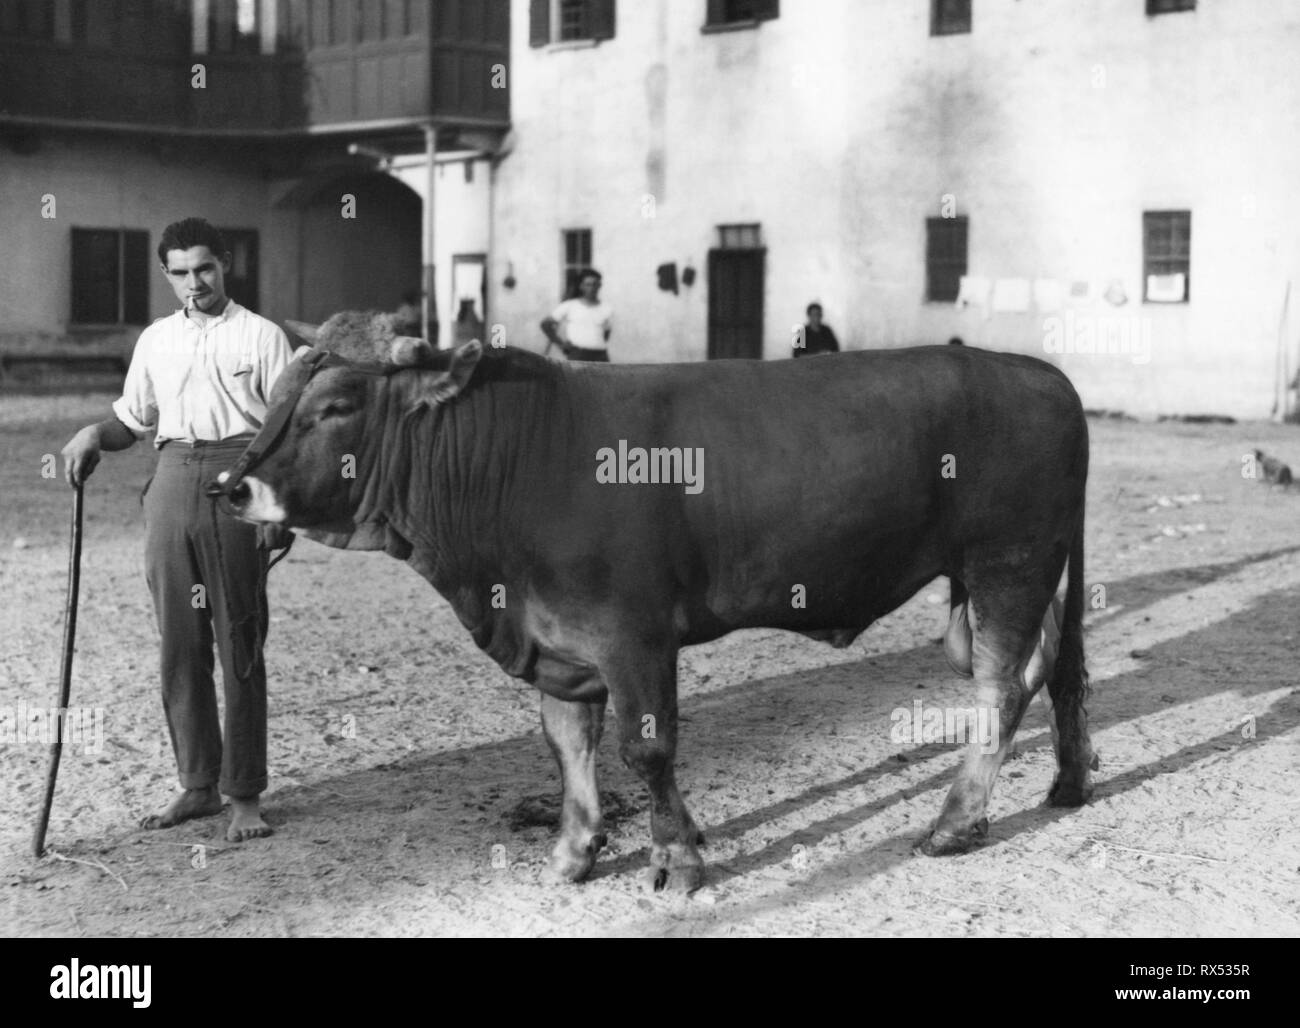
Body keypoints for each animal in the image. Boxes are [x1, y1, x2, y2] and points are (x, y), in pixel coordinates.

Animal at [211, 312, 1096, 892]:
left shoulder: (631, 636)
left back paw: (955, 821)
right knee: (1051, 671)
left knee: (999, 690)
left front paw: (677, 856)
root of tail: (1041, 373)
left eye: (336, 407)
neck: (523, 457)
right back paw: (1069, 781)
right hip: (1010, 582)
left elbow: (647, 751)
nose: (230, 488)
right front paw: (574, 851)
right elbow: (568, 744)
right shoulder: (561, 644)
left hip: (1007, 565)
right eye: (275, 394)